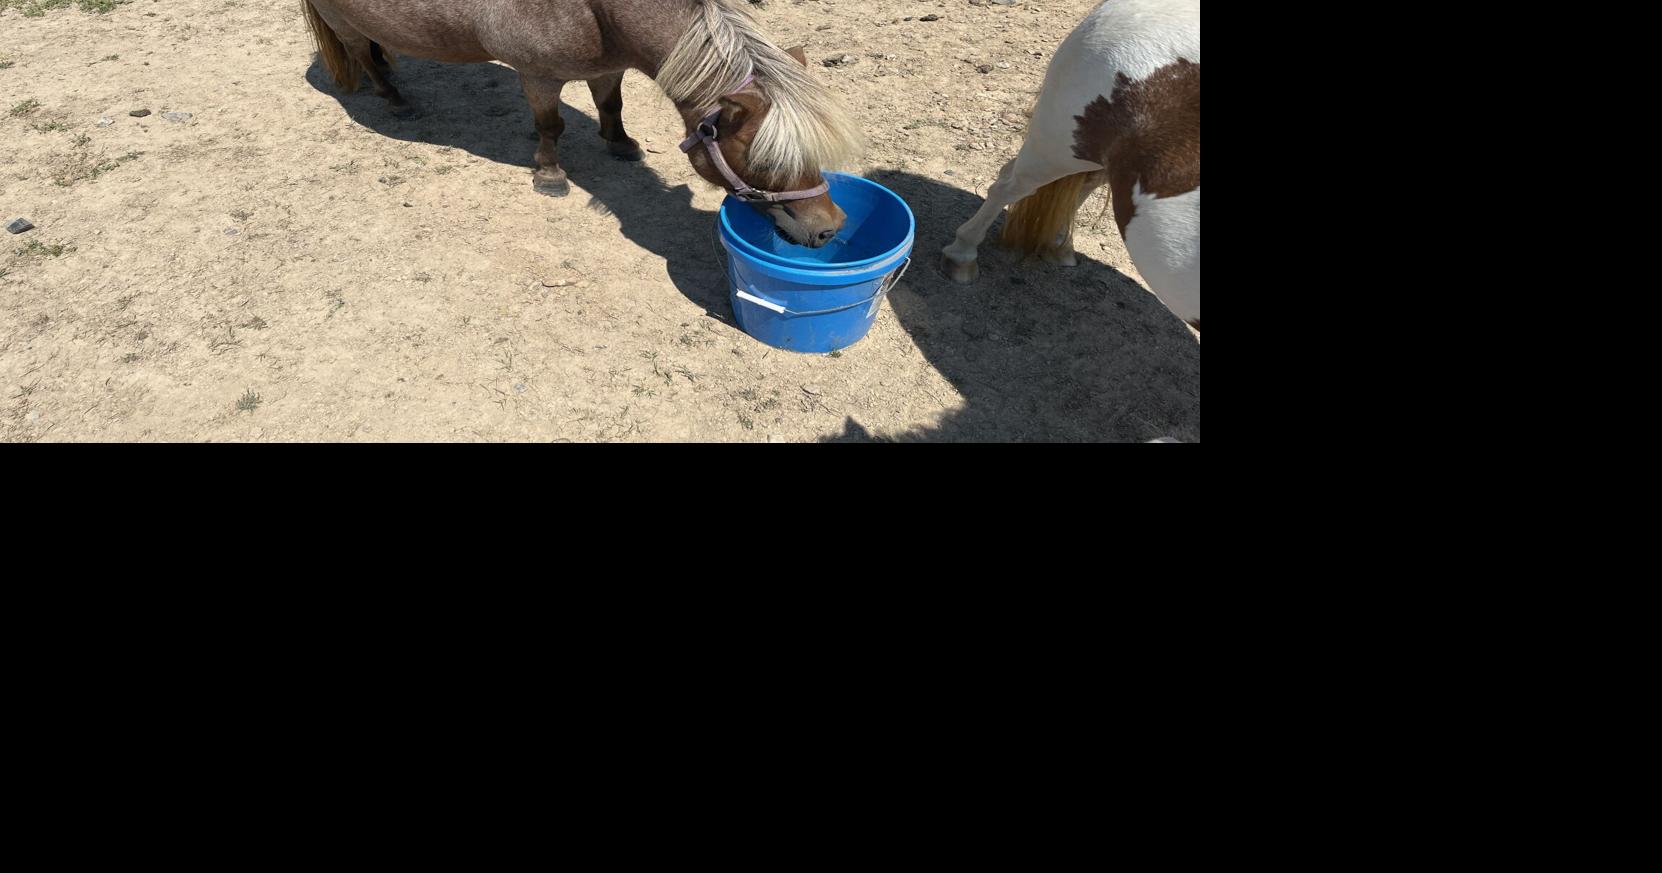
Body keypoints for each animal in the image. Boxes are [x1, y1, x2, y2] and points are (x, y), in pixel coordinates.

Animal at [300, 0, 863, 248]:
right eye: (763, 161)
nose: (829, 229)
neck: (596, 10)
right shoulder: (539, 77)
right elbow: (551, 128)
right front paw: (550, 175)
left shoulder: (606, 68)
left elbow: (611, 108)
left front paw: (621, 144)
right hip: (346, 23)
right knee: (361, 54)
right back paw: (395, 99)